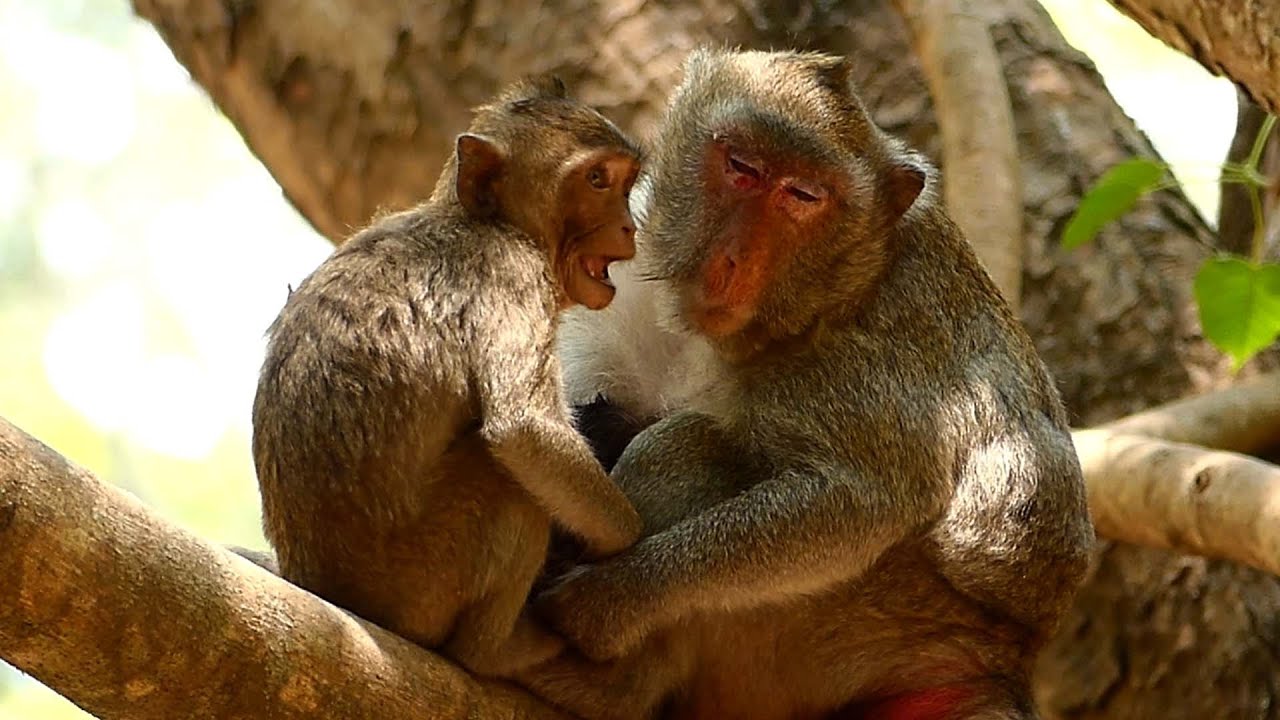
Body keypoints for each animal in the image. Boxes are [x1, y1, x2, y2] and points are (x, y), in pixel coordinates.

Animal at [250, 76, 644, 678]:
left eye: (626, 182)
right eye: (597, 180)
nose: (629, 226)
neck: (482, 218)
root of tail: (324, 586)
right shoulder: (513, 271)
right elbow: (524, 431)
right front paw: (629, 536)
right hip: (419, 583)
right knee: (501, 478)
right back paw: (493, 651)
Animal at [516, 48, 1094, 720]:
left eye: (803, 195)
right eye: (741, 167)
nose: (734, 262)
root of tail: (1002, 667)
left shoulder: (877, 340)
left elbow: (862, 501)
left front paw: (612, 599)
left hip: (873, 625)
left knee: (688, 446)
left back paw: (614, 683)